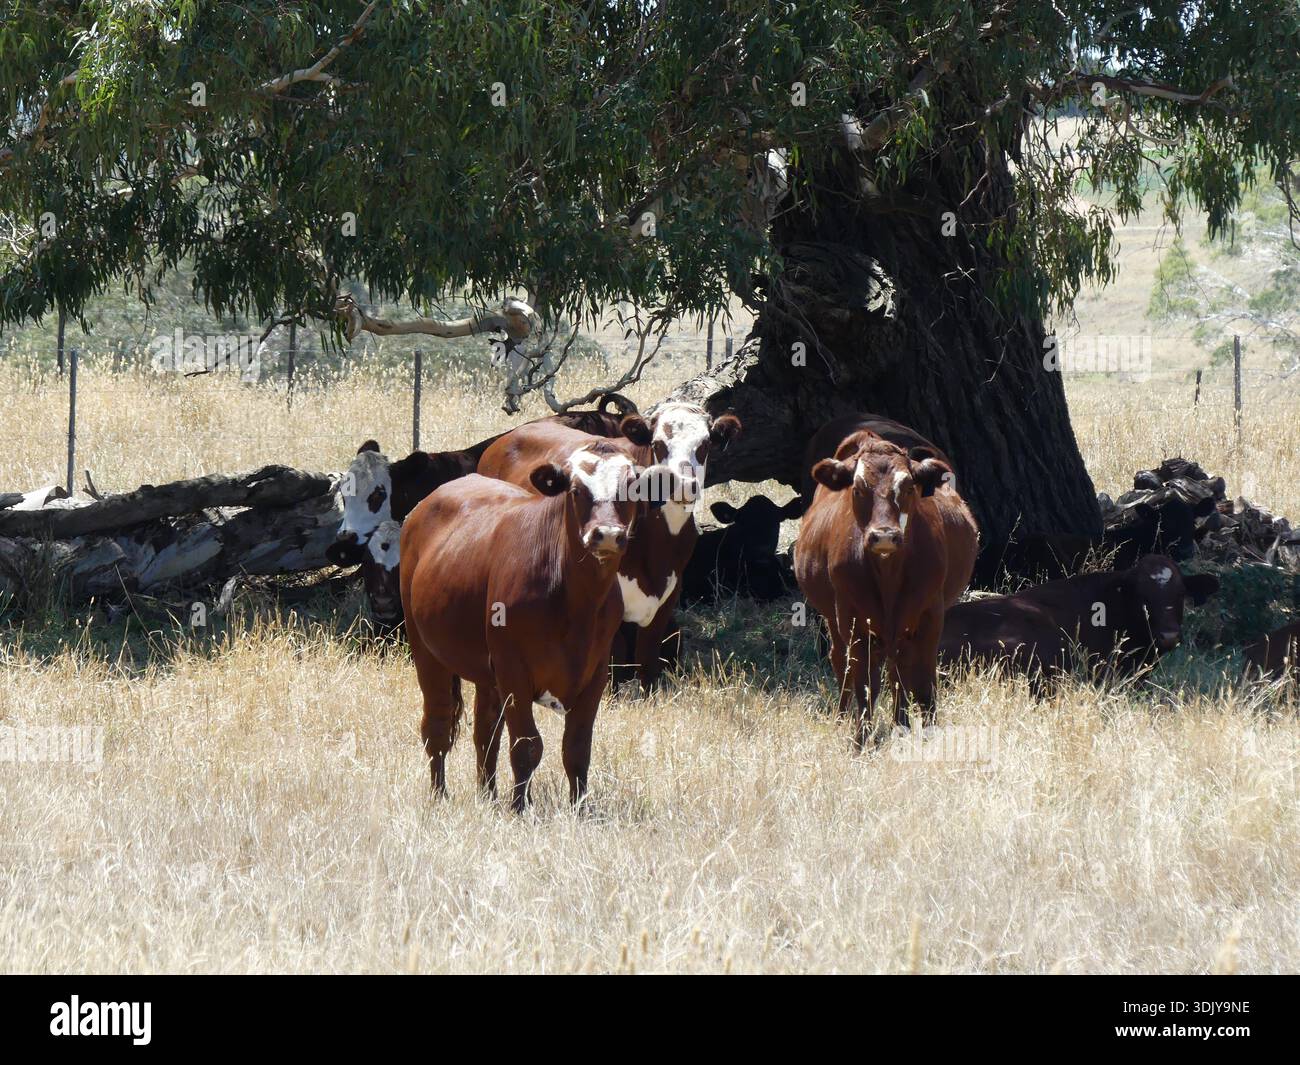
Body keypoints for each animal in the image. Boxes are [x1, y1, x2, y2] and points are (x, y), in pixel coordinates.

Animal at [400, 442, 677, 811]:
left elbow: (576, 748)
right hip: (426, 651)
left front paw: (579, 809)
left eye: (631, 487)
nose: (606, 535)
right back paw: (439, 794)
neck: (577, 602)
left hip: (487, 673)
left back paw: (488, 796)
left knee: (485, 731)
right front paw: (520, 808)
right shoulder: (514, 671)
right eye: (576, 490)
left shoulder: (595, 673)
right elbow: (527, 745)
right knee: (438, 725)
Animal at [480, 401, 742, 689]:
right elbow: (613, 662)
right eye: (658, 444)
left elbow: (647, 659)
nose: (682, 485)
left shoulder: (668, 595)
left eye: (705, 444)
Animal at [795, 421, 979, 746]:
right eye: (858, 488)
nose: (884, 536)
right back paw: (844, 717)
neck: (889, 575)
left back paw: (900, 723)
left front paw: (929, 732)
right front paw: (861, 740)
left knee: (898, 672)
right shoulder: (853, 621)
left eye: (907, 487)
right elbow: (864, 687)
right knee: (842, 662)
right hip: (832, 618)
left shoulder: (930, 617)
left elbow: (923, 682)